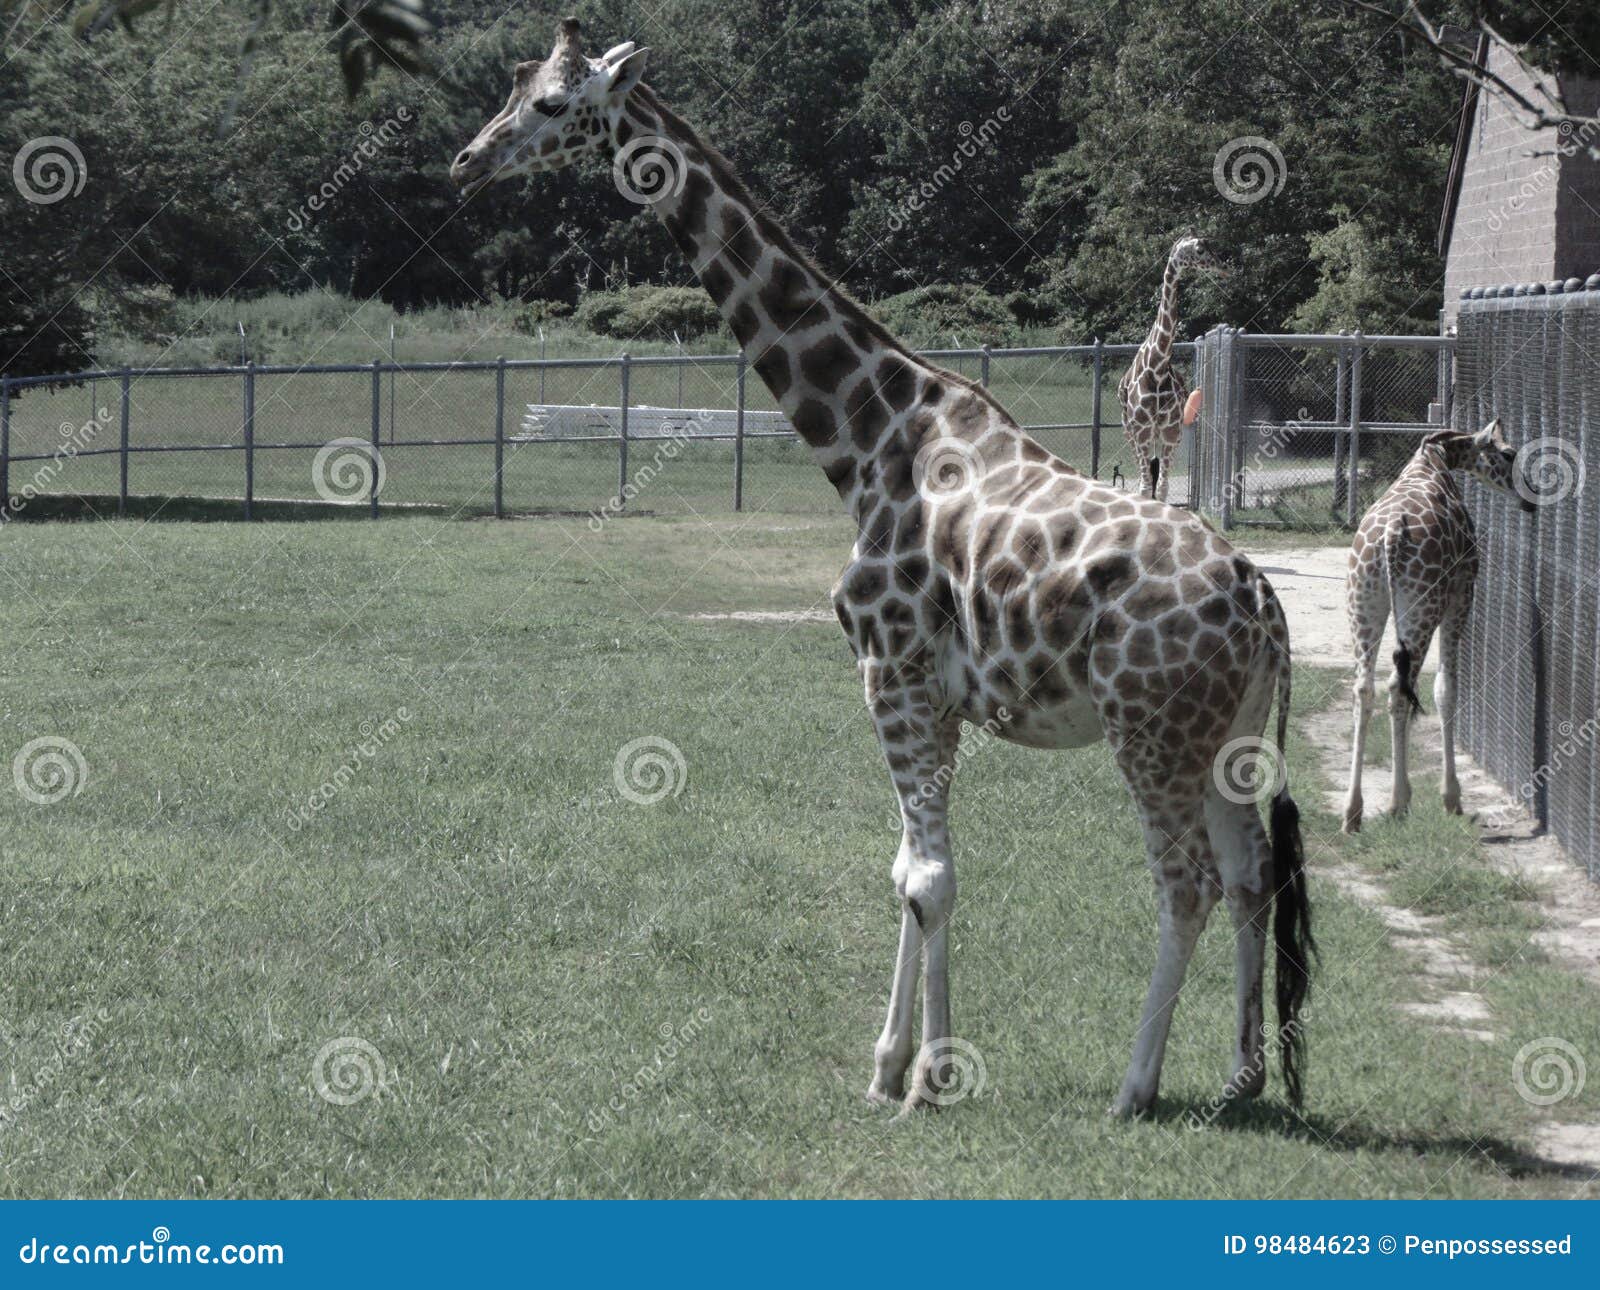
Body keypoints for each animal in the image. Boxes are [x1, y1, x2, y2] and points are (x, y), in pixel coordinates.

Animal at [1117, 237, 1225, 503]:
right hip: (1130, 431)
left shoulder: (1170, 430)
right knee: (1144, 477)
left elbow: (1163, 487)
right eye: (1199, 250)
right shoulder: (1142, 430)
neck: (1156, 368)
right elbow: (1145, 487)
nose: (1223, 267)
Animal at [1341, 421, 1532, 834]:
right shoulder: (1462, 593)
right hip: (1423, 605)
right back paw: (1398, 802)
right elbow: (1446, 687)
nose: (1531, 499)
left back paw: (1353, 812)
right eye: (1508, 453)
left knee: (1364, 688)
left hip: (1363, 603)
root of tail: (1388, 540)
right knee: (1399, 688)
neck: (1435, 459)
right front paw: (1451, 798)